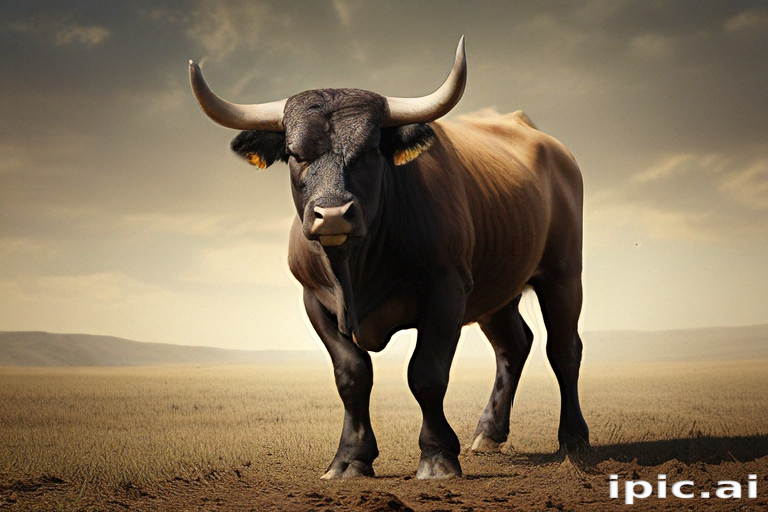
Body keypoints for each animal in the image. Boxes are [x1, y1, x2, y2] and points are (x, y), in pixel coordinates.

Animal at [189, 37, 589, 480]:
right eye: (295, 154)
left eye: (368, 151)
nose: (332, 214)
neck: (356, 269)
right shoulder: (314, 301)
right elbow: (352, 375)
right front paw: (350, 458)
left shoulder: (446, 291)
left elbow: (426, 374)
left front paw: (437, 456)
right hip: (497, 290)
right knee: (513, 346)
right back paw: (488, 433)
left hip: (563, 274)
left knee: (564, 349)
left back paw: (574, 440)